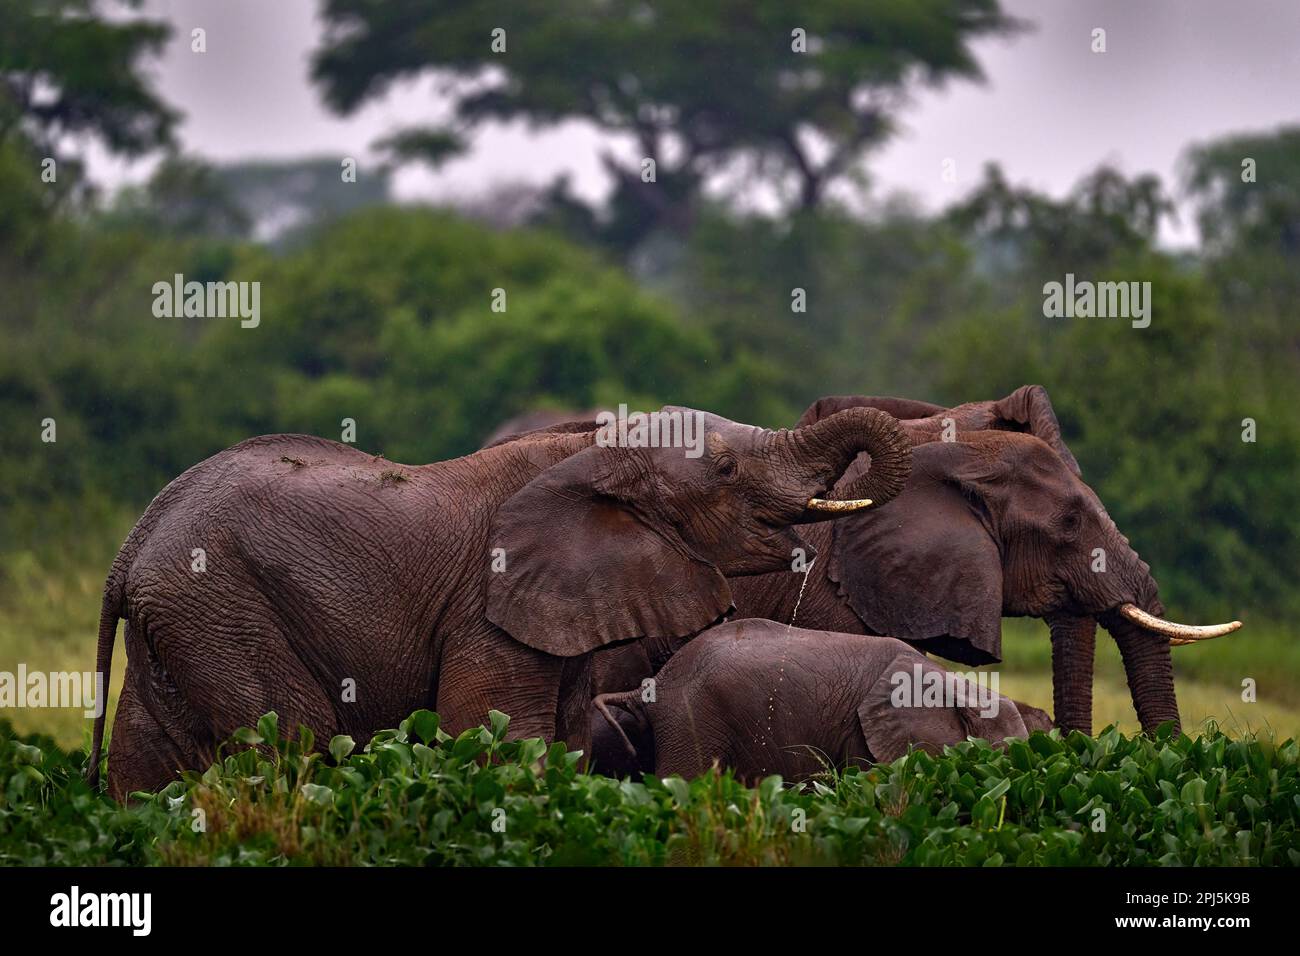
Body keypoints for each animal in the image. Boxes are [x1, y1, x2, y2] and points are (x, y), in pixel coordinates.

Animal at [86, 404, 913, 799]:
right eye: (726, 471)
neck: (592, 448)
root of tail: (131, 545)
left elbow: (567, 740)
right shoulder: (487, 604)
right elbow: (496, 737)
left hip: (181, 625)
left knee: (147, 766)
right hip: (222, 609)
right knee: (291, 740)